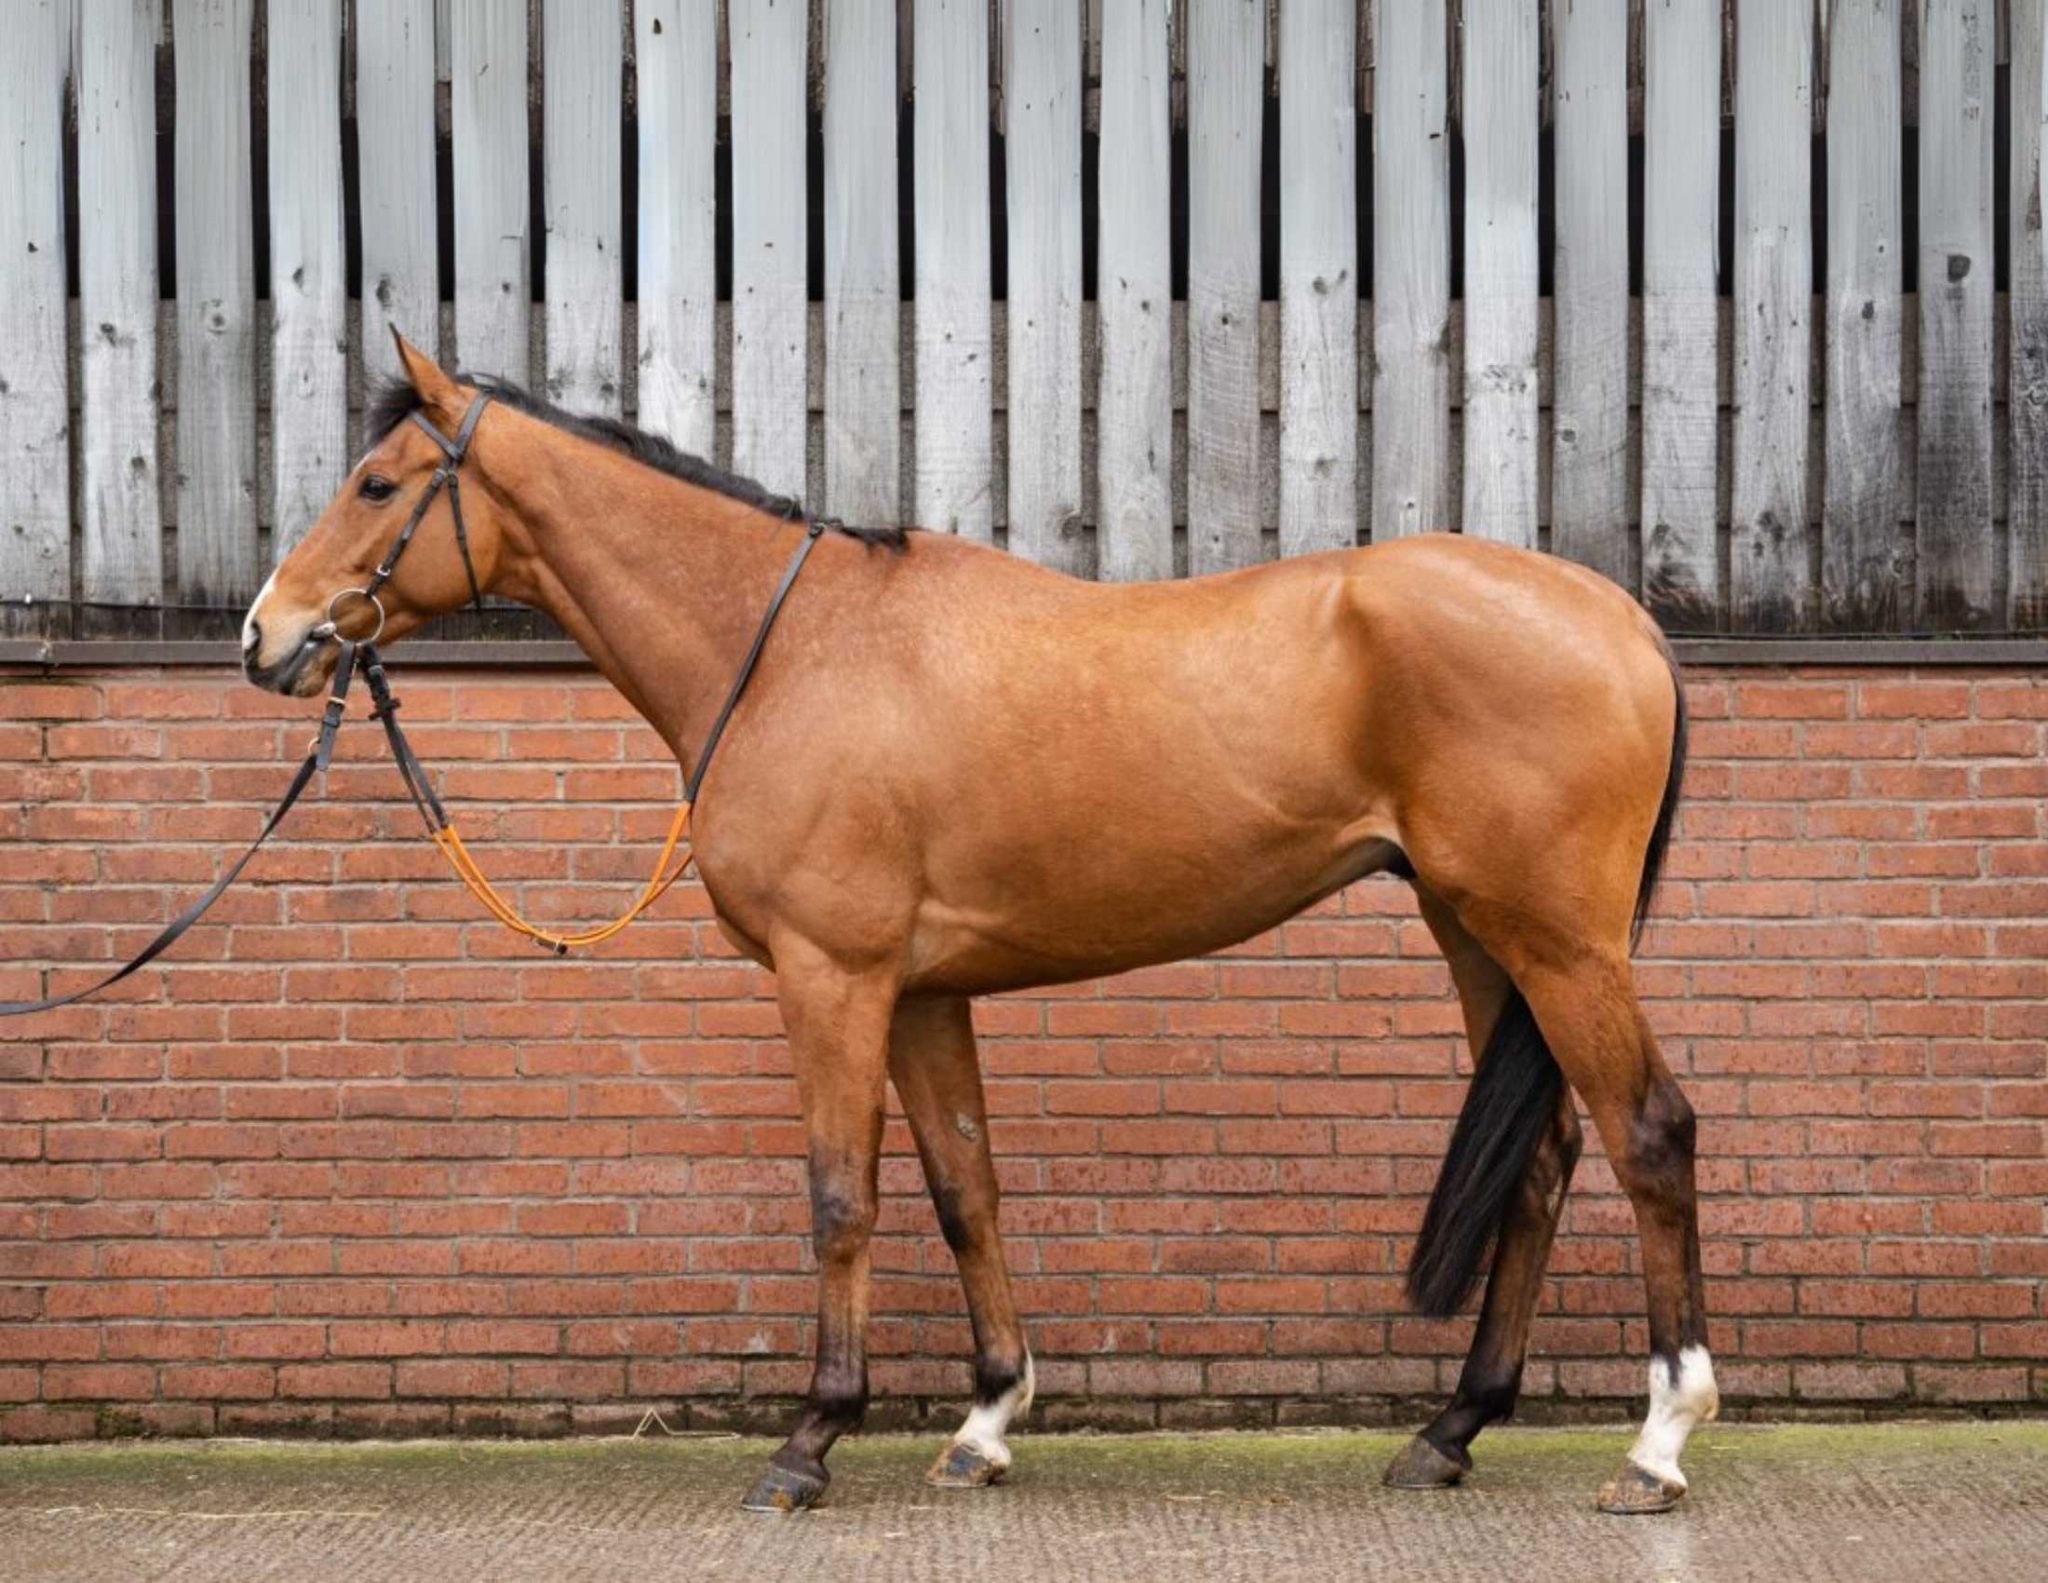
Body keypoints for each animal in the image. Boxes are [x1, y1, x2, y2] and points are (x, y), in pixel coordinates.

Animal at [242, 335, 1712, 1516]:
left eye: (377, 483)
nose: (268, 634)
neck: (788, 649)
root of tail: (1620, 617)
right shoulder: (923, 991)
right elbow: (965, 1189)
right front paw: (986, 1419)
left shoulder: (831, 977)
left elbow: (843, 1196)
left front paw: (809, 1441)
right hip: (1478, 930)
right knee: (1543, 1156)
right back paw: (1449, 1429)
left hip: (1556, 938)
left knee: (1648, 1134)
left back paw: (1655, 1445)